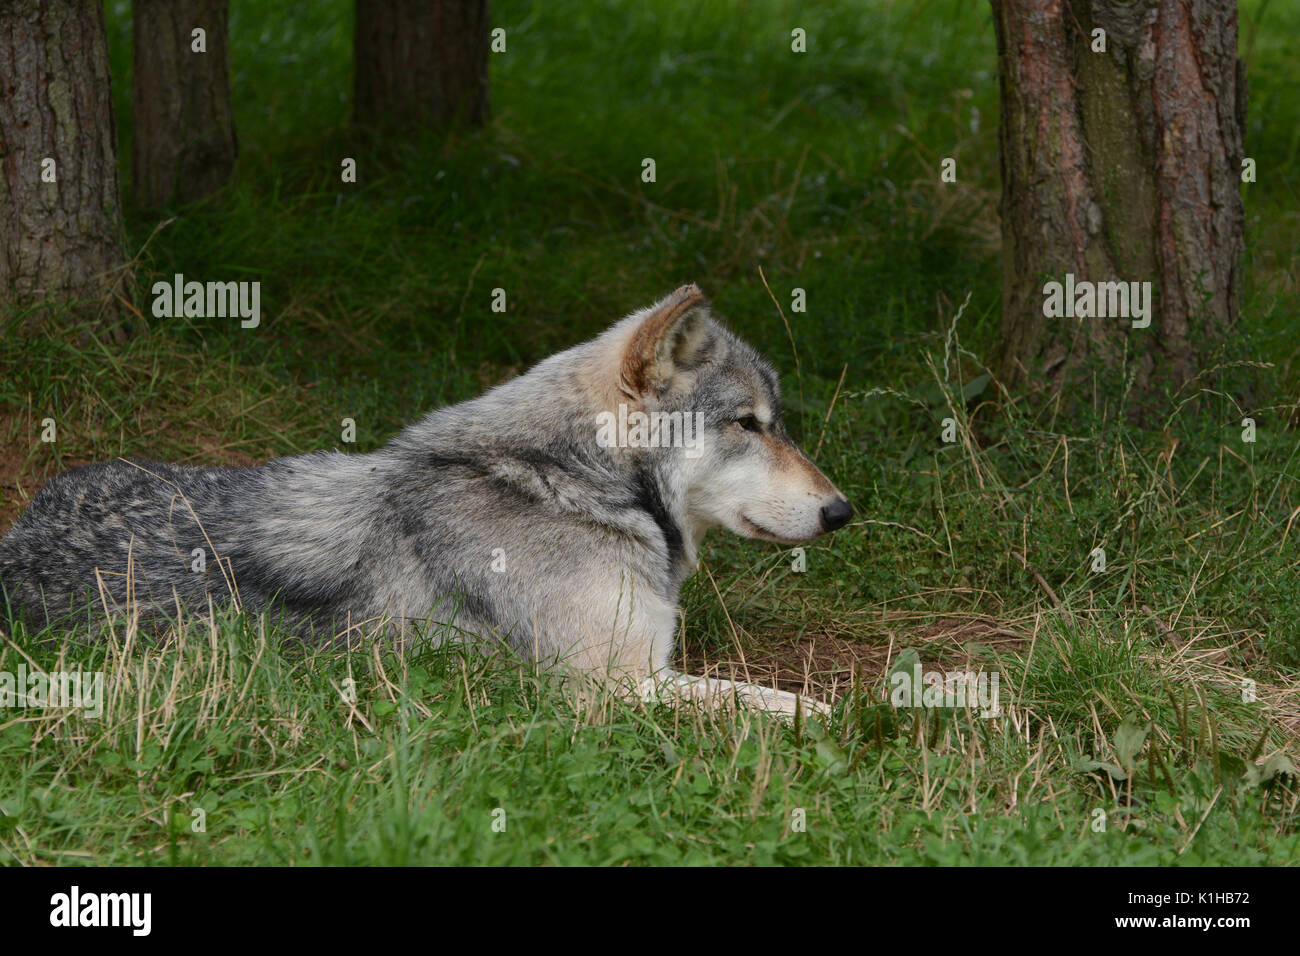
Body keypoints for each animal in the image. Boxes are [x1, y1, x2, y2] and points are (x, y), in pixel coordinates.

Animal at [0, 285, 852, 716]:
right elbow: (781, 703)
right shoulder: (607, 688)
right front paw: (833, 718)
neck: (572, 485)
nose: (842, 512)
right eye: (749, 425)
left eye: (776, 422)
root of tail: (17, 539)